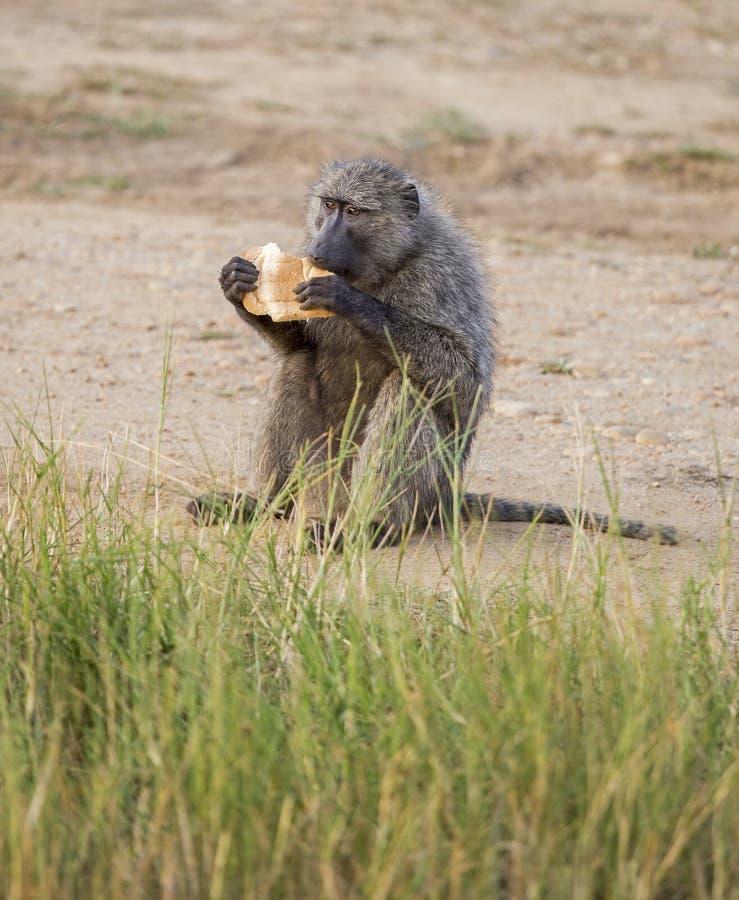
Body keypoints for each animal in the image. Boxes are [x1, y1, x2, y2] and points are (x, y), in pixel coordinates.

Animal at [187, 158, 676, 547]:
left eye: (353, 211)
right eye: (328, 205)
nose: (318, 248)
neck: (386, 263)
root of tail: (447, 496)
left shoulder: (441, 274)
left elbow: (464, 376)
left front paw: (348, 300)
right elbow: (301, 344)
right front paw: (238, 282)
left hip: (417, 487)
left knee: (408, 391)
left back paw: (370, 527)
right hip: (325, 476)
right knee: (297, 367)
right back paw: (266, 505)